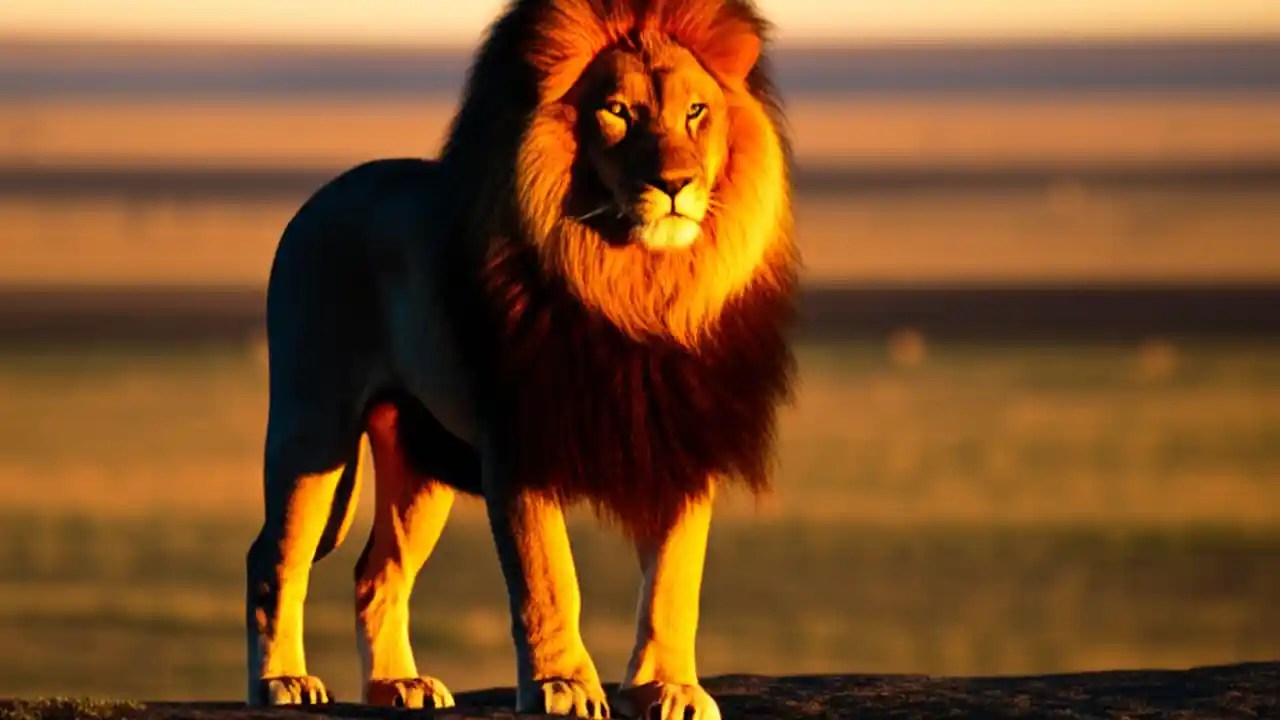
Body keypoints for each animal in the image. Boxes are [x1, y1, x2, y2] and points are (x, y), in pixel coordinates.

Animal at [243, 1, 795, 718]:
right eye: (617, 111)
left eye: (696, 112)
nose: (674, 184)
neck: (633, 283)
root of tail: (322, 194)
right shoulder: (519, 436)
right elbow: (548, 575)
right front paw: (563, 685)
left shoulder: (678, 438)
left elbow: (675, 579)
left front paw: (668, 687)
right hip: (313, 425)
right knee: (273, 558)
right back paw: (281, 681)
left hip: (419, 458)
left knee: (376, 570)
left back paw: (398, 685)